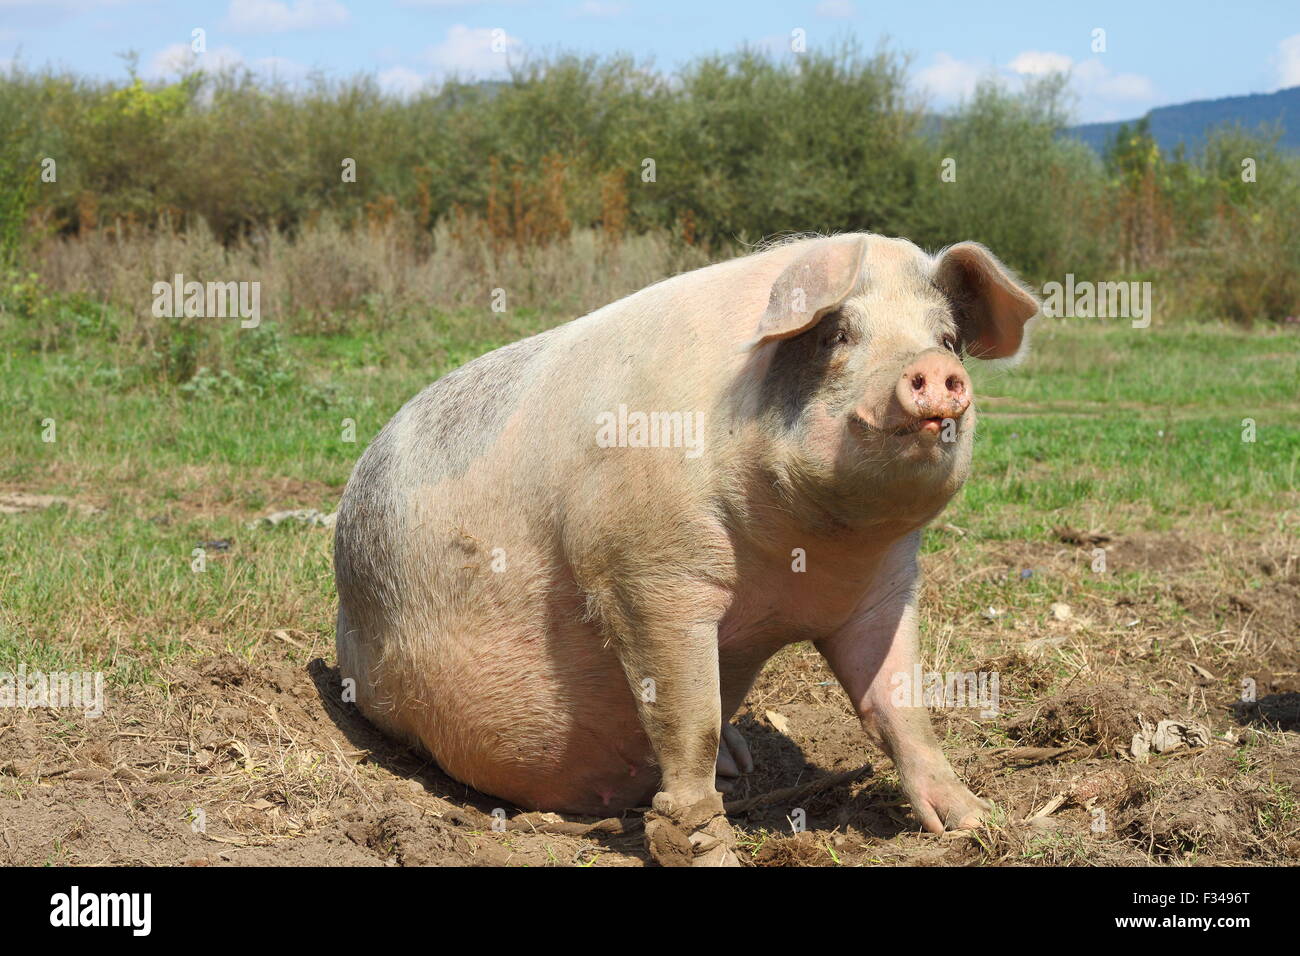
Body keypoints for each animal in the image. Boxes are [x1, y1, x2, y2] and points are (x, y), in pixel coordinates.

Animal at [334, 233, 1040, 866]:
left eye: (947, 339)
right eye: (838, 335)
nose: (938, 369)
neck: (804, 556)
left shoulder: (884, 588)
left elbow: (902, 706)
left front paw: (979, 825)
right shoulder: (643, 572)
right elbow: (687, 718)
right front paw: (708, 851)